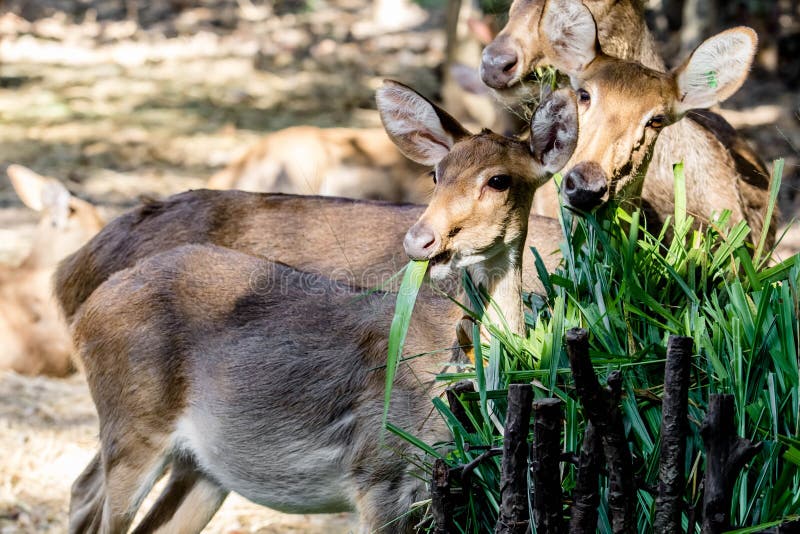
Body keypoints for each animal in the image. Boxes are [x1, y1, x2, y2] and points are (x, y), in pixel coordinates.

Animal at [67, 80, 579, 534]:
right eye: (436, 174)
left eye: (499, 180)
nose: (420, 239)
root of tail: (81, 301)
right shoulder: (380, 472)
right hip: (132, 425)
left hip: (203, 467)